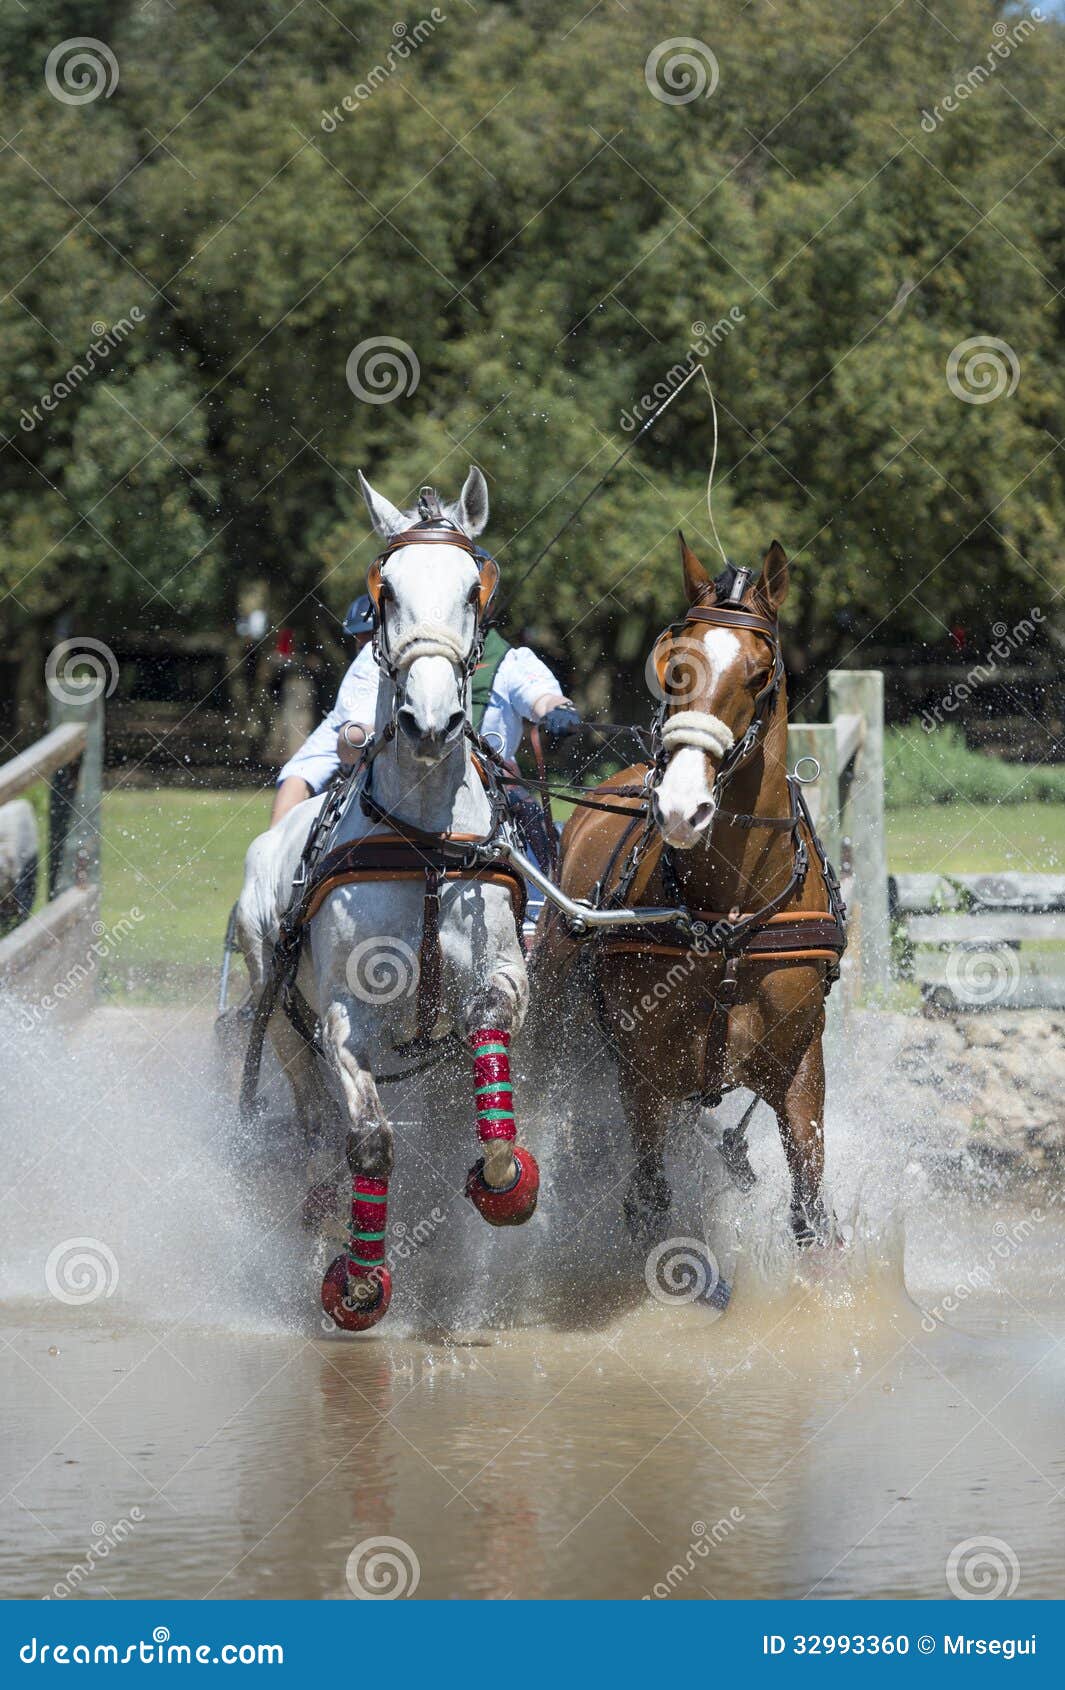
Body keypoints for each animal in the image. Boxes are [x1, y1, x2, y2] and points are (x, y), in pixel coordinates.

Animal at [235, 468, 539, 1332]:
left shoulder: (506, 971)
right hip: (281, 1026)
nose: (430, 720)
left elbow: (485, 1023)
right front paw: (358, 1283)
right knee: (314, 1138)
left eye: (473, 587)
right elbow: (368, 1140)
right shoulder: (345, 1021)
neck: (424, 843)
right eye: (389, 588)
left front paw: (502, 1178)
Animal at [535, 534, 846, 1249]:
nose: (679, 806)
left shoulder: (800, 1073)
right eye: (672, 667)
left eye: (760, 673)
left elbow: (811, 1210)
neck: (728, 918)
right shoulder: (645, 1078)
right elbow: (650, 1205)